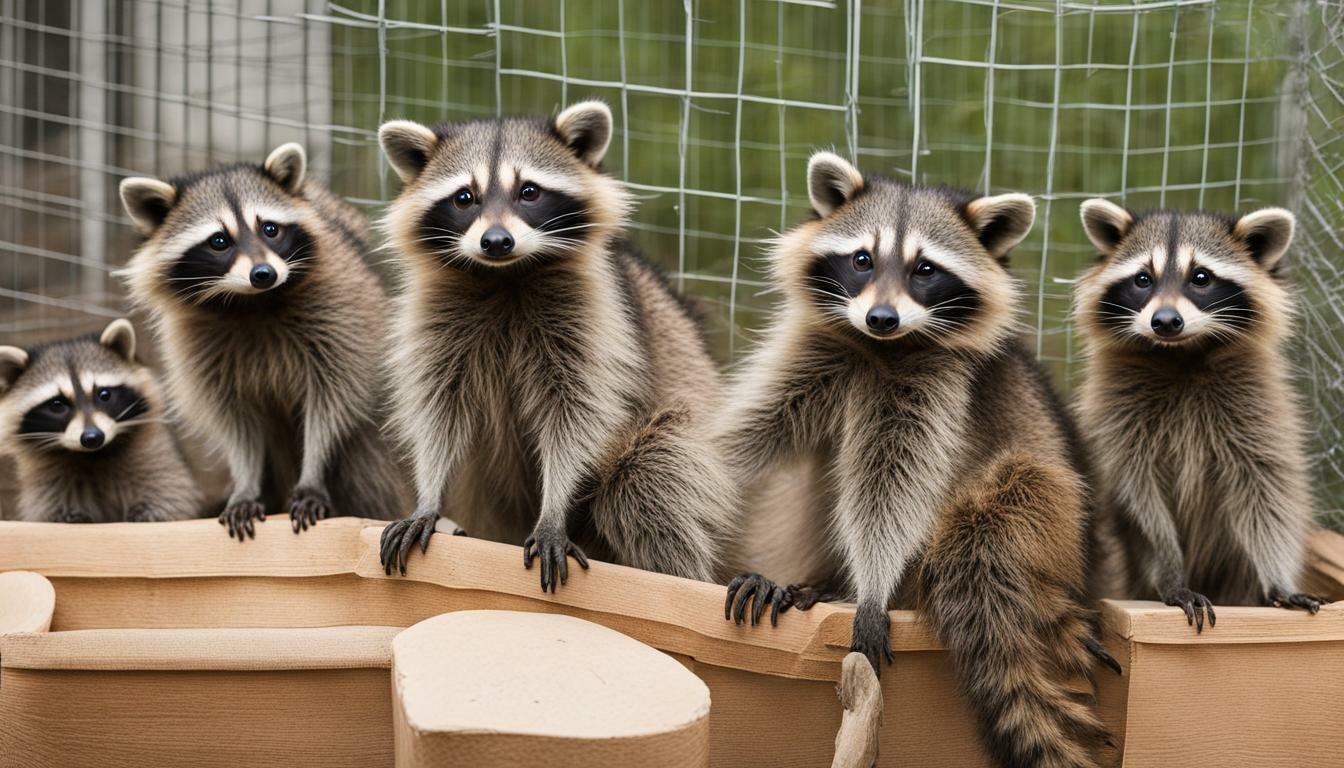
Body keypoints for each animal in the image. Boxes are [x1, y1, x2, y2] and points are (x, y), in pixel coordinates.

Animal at [0, 319, 200, 523]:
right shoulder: (50, 482)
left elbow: (168, 496)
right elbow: (52, 509)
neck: (94, 454)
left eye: (104, 395)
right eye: (57, 404)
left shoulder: (154, 458)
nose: (92, 437)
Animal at [117, 143, 409, 540]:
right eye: (219, 241)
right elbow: (235, 423)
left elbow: (332, 402)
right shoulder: (198, 345)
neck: (253, 301)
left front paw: (313, 470)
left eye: (269, 229)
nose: (263, 274)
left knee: (369, 469)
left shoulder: (342, 317)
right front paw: (245, 482)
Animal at [375, 101, 735, 589]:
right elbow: (438, 409)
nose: (496, 241)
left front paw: (554, 509)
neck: (506, 275)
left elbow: (576, 414)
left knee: (649, 480)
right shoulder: (438, 317)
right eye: (464, 198)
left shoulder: (598, 316)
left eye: (529, 192)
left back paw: (681, 577)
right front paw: (429, 495)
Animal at [722, 153, 1108, 768]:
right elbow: (747, 437)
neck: (880, 348)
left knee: (1003, 505)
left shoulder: (940, 388)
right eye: (862, 259)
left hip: (1033, 505)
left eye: (925, 269)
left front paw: (872, 587)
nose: (881, 316)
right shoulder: (814, 354)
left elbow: (893, 490)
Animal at [1074, 200, 1327, 626]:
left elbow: (1268, 492)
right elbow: (1139, 496)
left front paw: (1278, 580)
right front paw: (1171, 572)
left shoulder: (1255, 409)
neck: (1182, 355)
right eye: (1143, 279)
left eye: (1201, 277)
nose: (1165, 322)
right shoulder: (1119, 417)